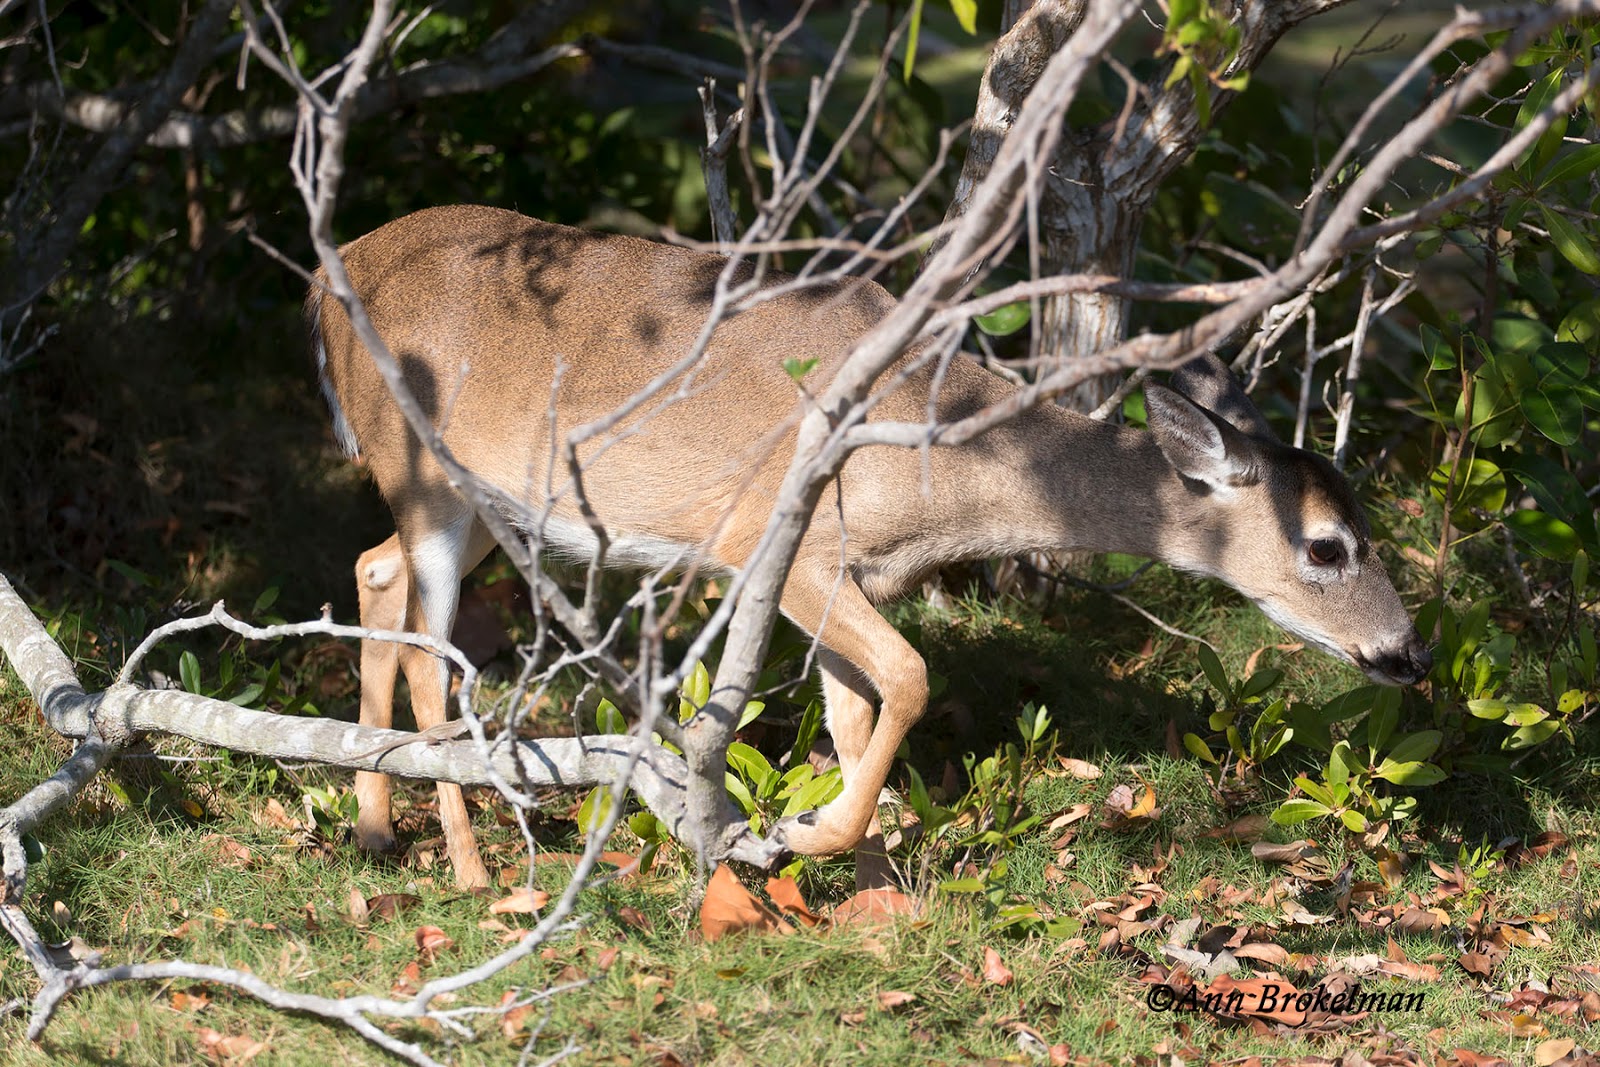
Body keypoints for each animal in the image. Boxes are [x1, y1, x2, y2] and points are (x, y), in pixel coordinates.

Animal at [310, 204, 1433, 889]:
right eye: (1328, 548)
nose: (1406, 653)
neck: (941, 462)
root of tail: (331, 276)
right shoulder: (777, 541)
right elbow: (910, 675)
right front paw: (810, 836)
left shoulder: (853, 573)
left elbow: (857, 710)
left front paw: (863, 886)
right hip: (421, 463)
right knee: (427, 642)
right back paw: (467, 865)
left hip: (480, 503)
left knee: (374, 570)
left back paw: (374, 825)